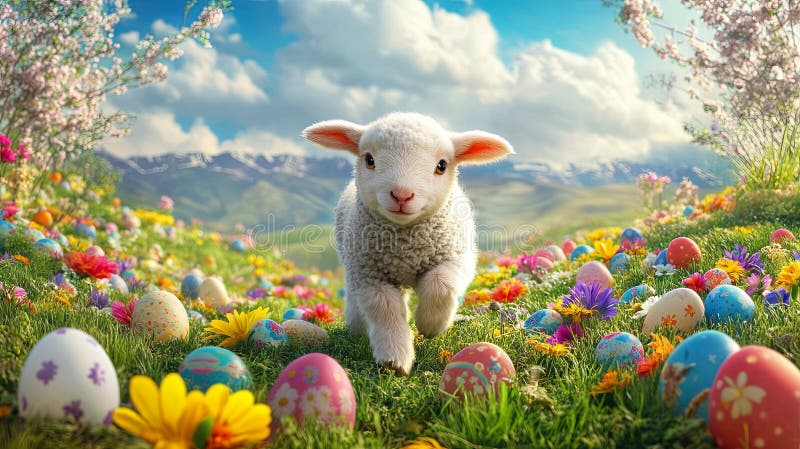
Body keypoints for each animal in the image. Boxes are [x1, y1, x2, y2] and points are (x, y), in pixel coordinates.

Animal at [303, 112, 513, 375]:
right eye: (369, 160)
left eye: (441, 165)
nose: (401, 195)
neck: (406, 247)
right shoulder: (371, 277)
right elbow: (386, 310)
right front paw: (394, 360)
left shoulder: (456, 258)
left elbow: (440, 284)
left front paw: (430, 324)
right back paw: (357, 328)